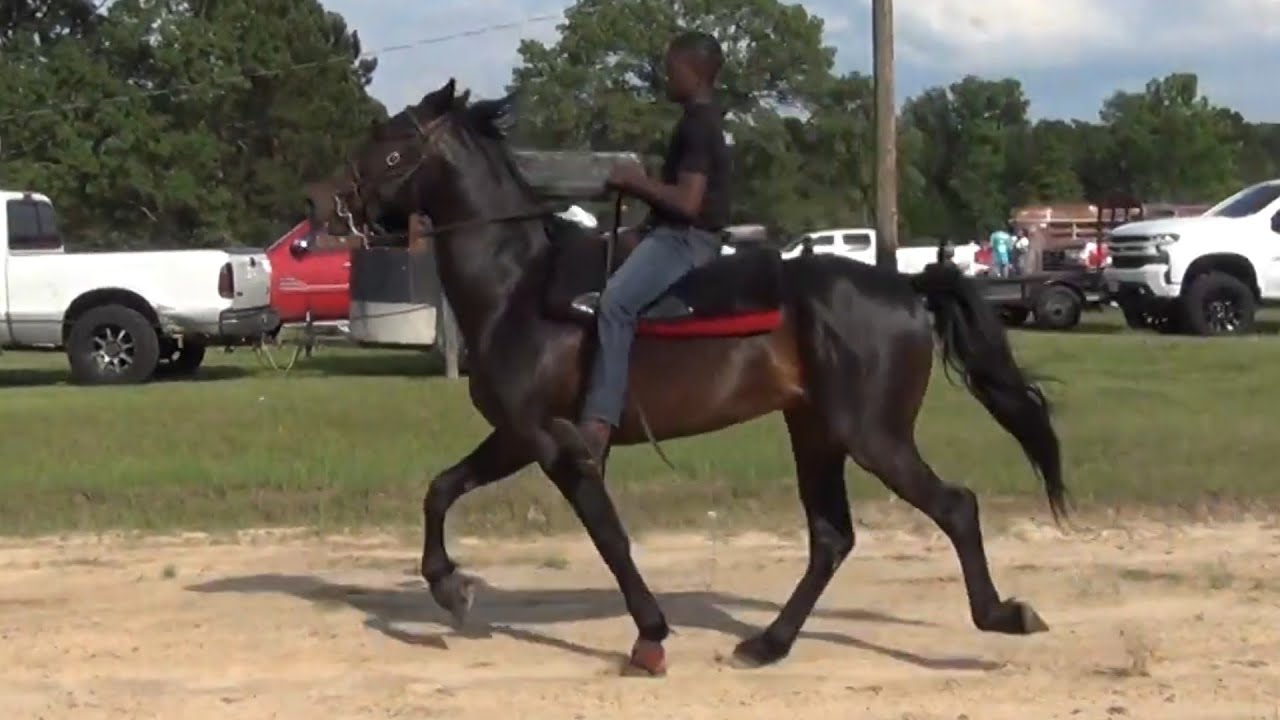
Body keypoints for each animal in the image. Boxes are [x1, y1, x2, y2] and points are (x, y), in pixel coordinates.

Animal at [303, 79, 1067, 676]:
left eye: (392, 150)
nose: (321, 203)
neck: (520, 286)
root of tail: (906, 285)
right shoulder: (517, 435)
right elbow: (441, 490)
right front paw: (448, 586)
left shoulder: (550, 442)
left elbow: (607, 535)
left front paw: (649, 636)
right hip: (816, 433)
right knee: (831, 538)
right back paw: (768, 643)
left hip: (873, 435)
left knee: (954, 507)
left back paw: (1002, 615)